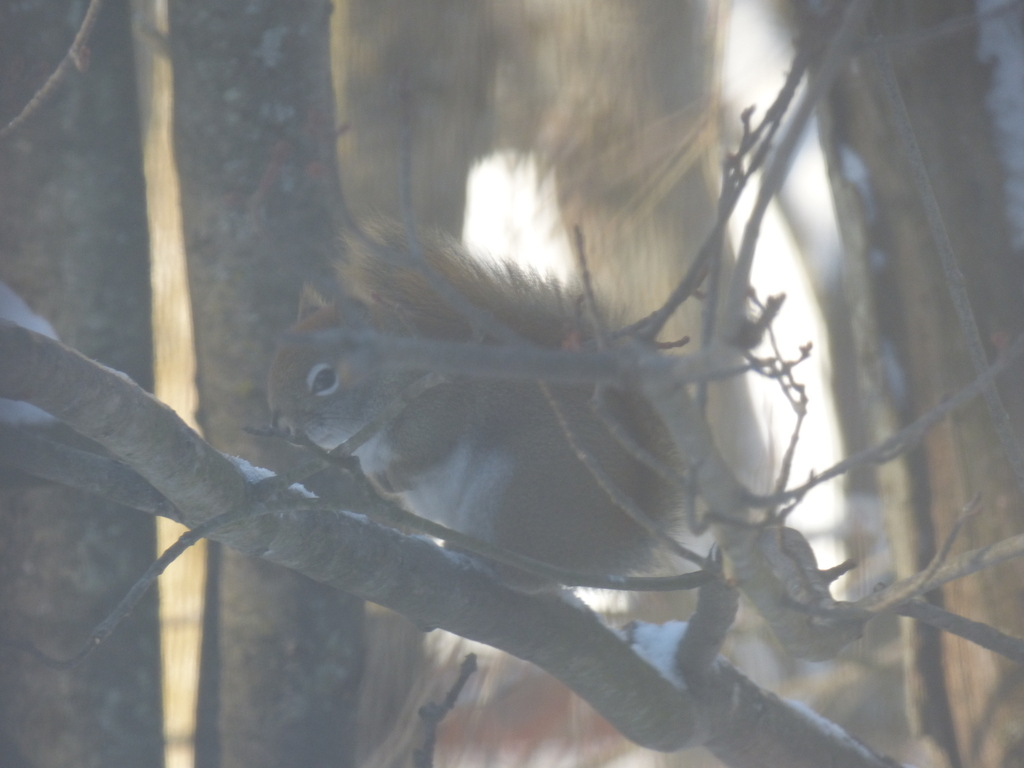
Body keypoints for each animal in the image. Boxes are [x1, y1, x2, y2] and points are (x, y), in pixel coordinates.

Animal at [268, 223, 683, 587]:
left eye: (324, 379)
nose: (284, 424)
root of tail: (613, 542)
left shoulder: (441, 404)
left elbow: (429, 447)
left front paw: (398, 474)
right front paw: (382, 483)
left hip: (520, 494)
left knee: (530, 577)